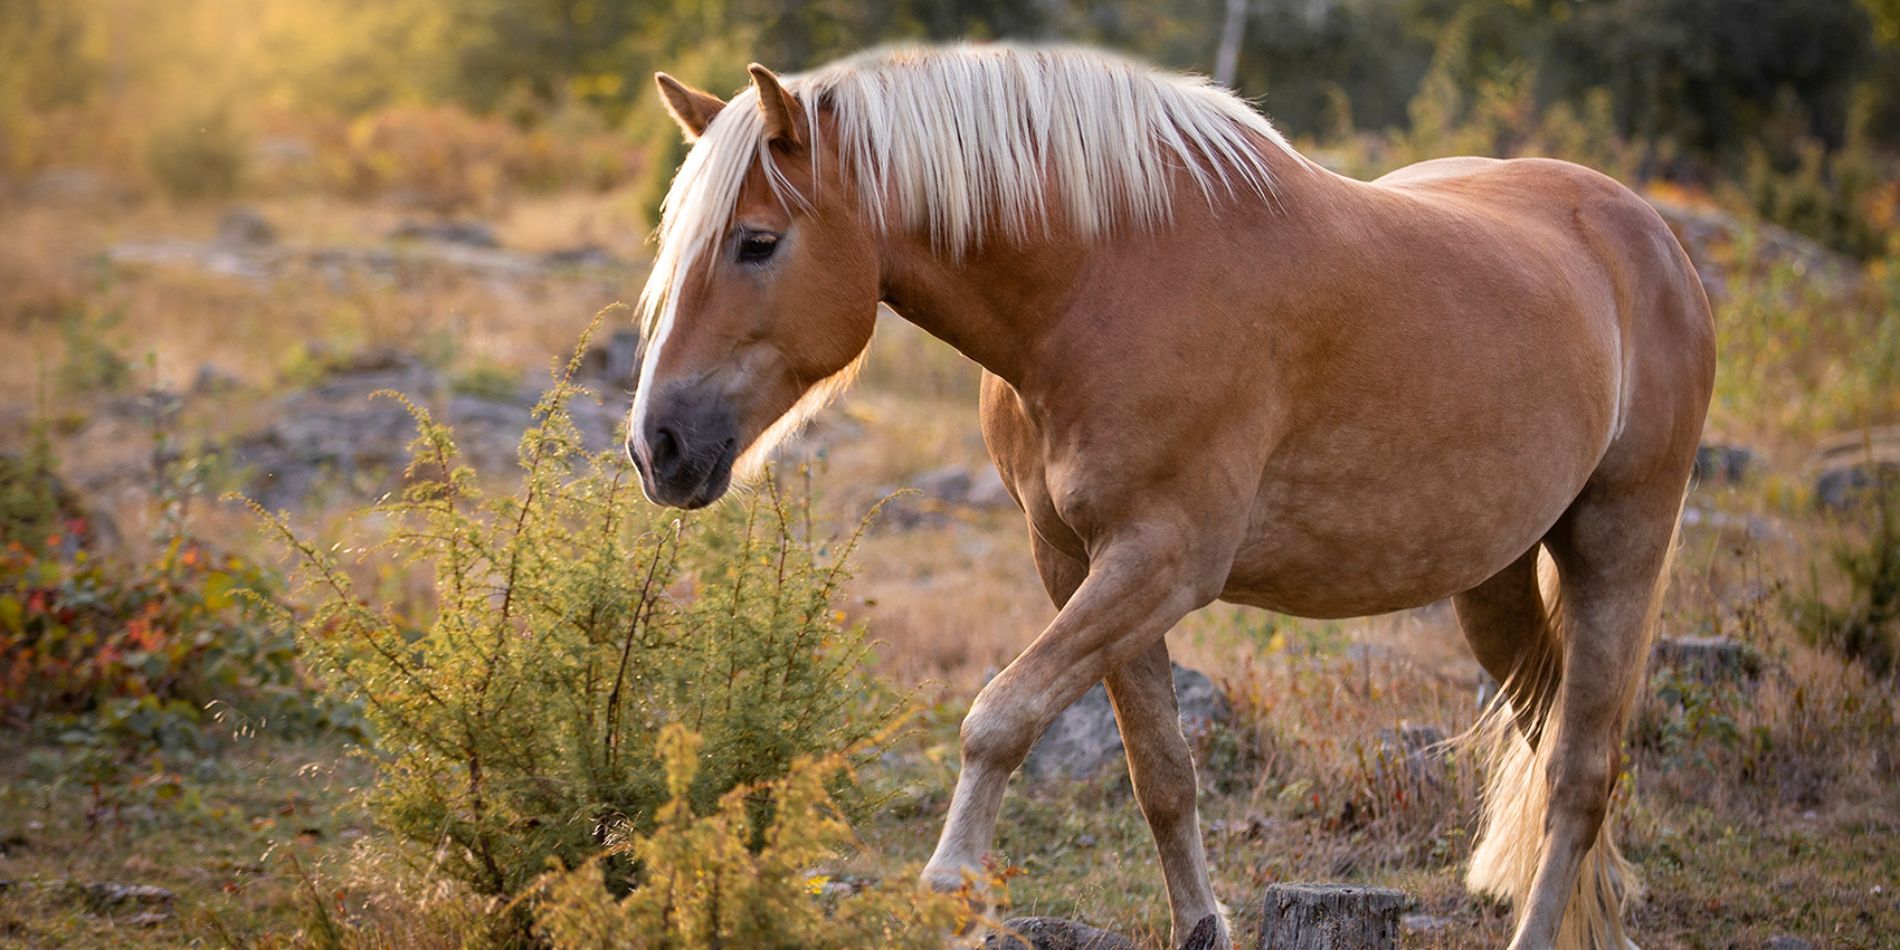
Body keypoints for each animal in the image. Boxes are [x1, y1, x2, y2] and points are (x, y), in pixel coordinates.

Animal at [626, 43, 1713, 950]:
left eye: (756, 242)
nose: (656, 446)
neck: (1106, 282)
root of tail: (1648, 235)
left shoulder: (1163, 560)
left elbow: (998, 716)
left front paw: (949, 887)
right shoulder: (1078, 562)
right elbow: (1160, 773)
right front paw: (1198, 922)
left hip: (1620, 541)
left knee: (1579, 774)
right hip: (1493, 576)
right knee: (1550, 738)